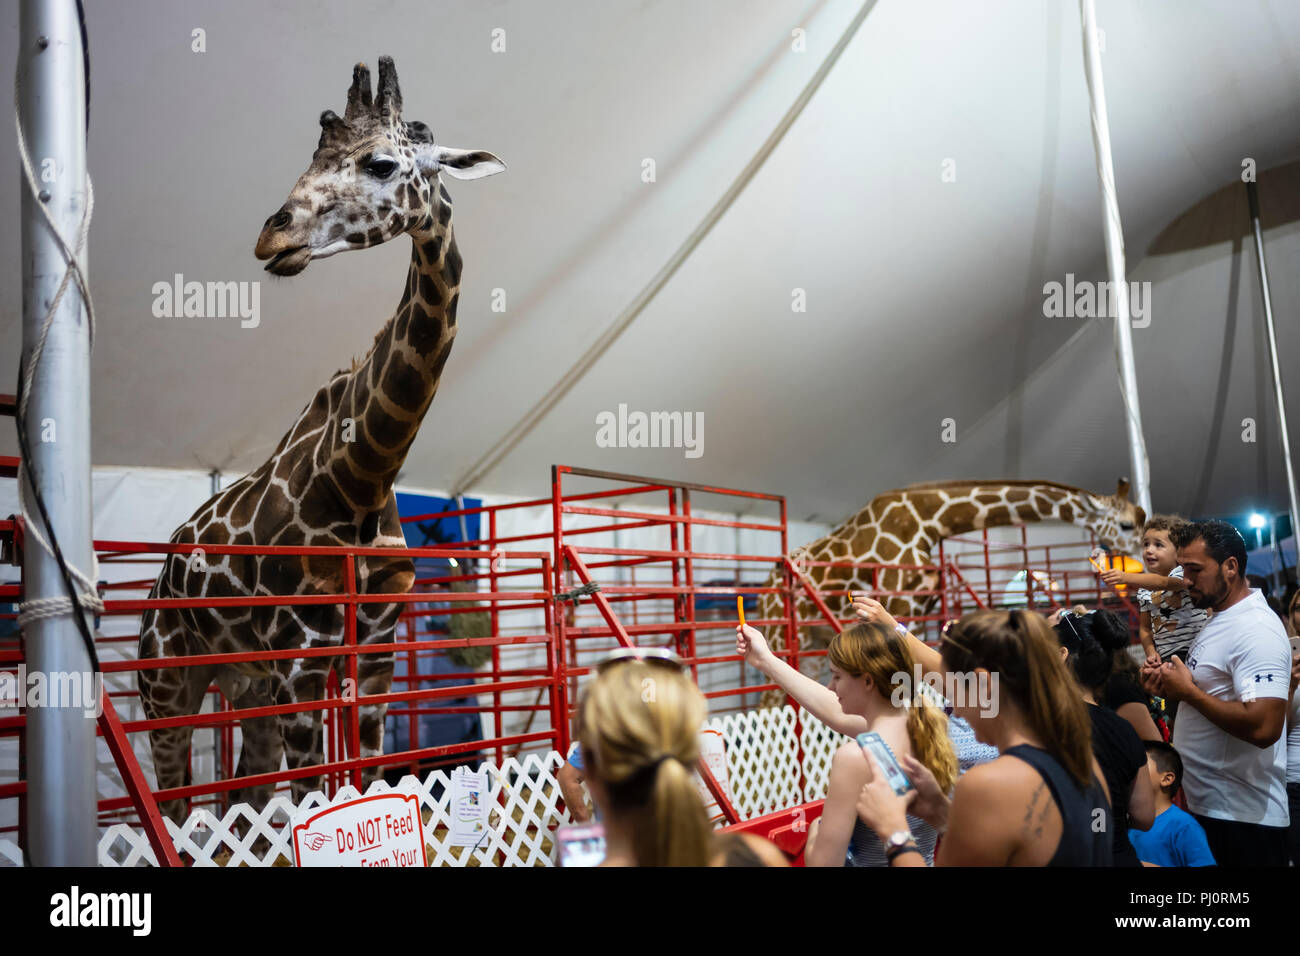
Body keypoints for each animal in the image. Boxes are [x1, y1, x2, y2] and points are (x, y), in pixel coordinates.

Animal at [136, 57, 504, 824]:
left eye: (381, 162)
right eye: (308, 161)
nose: (271, 237)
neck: (365, 471)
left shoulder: (374, 649)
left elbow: (364, 780)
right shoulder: (301, 654)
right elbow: (311, 799)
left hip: (245, 683)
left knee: (241, 794)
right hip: (168, 681)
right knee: (177, 803)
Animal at [756, 478, 1145, 706]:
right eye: (1126, 524)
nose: (1145, 558)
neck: (928, 524)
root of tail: (766, 587)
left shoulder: (919, 608)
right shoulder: (901, 600)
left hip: (813, 642)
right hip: (782, 634)